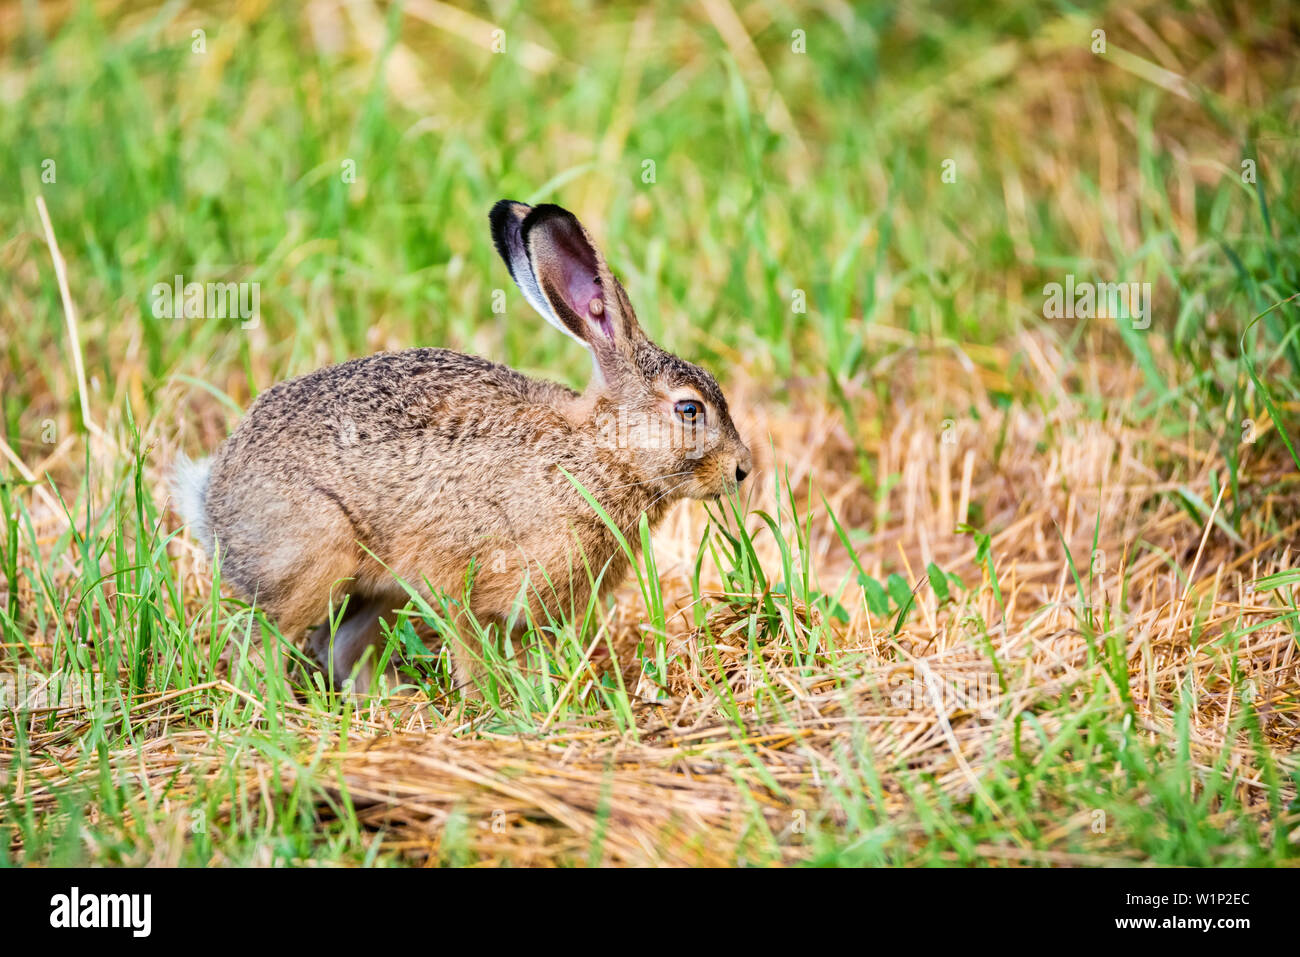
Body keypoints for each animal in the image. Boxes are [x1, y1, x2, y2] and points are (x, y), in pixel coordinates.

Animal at [173, 200, 753, 693]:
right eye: (689, 410)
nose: (742, 469)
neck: (600, 452)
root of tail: (210, 499)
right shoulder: (459, 578)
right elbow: (471, 652)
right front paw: (491, 705)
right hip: (316, 562)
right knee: (260, 649)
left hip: (377, 590)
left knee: (340, 647)